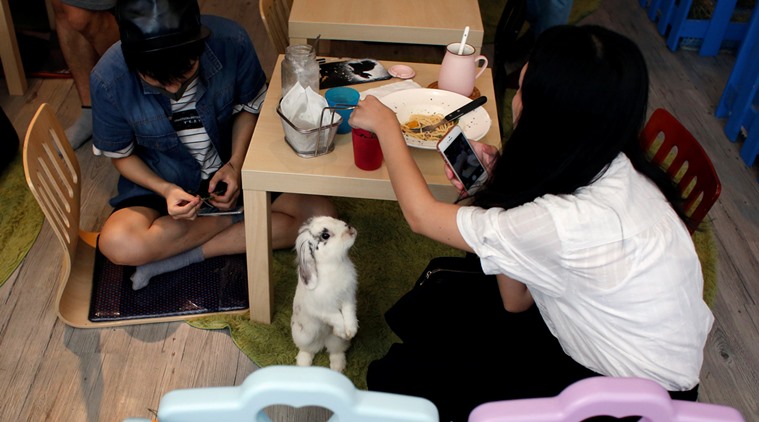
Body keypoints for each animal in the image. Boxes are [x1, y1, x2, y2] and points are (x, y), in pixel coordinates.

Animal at [291, 216, 359, 373]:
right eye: (325, 235)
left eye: (334, 219)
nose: (350, 227)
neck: (333, 264)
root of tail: (322, 342)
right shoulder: (322, 309)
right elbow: (336, 316)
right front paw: (342, 330)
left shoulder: (348, 297)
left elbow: (348, 312)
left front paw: (350, 331)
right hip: (302, 336)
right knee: (307, 351)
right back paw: (303, 364)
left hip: (337, 342)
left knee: (335, 352)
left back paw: (338, 367)